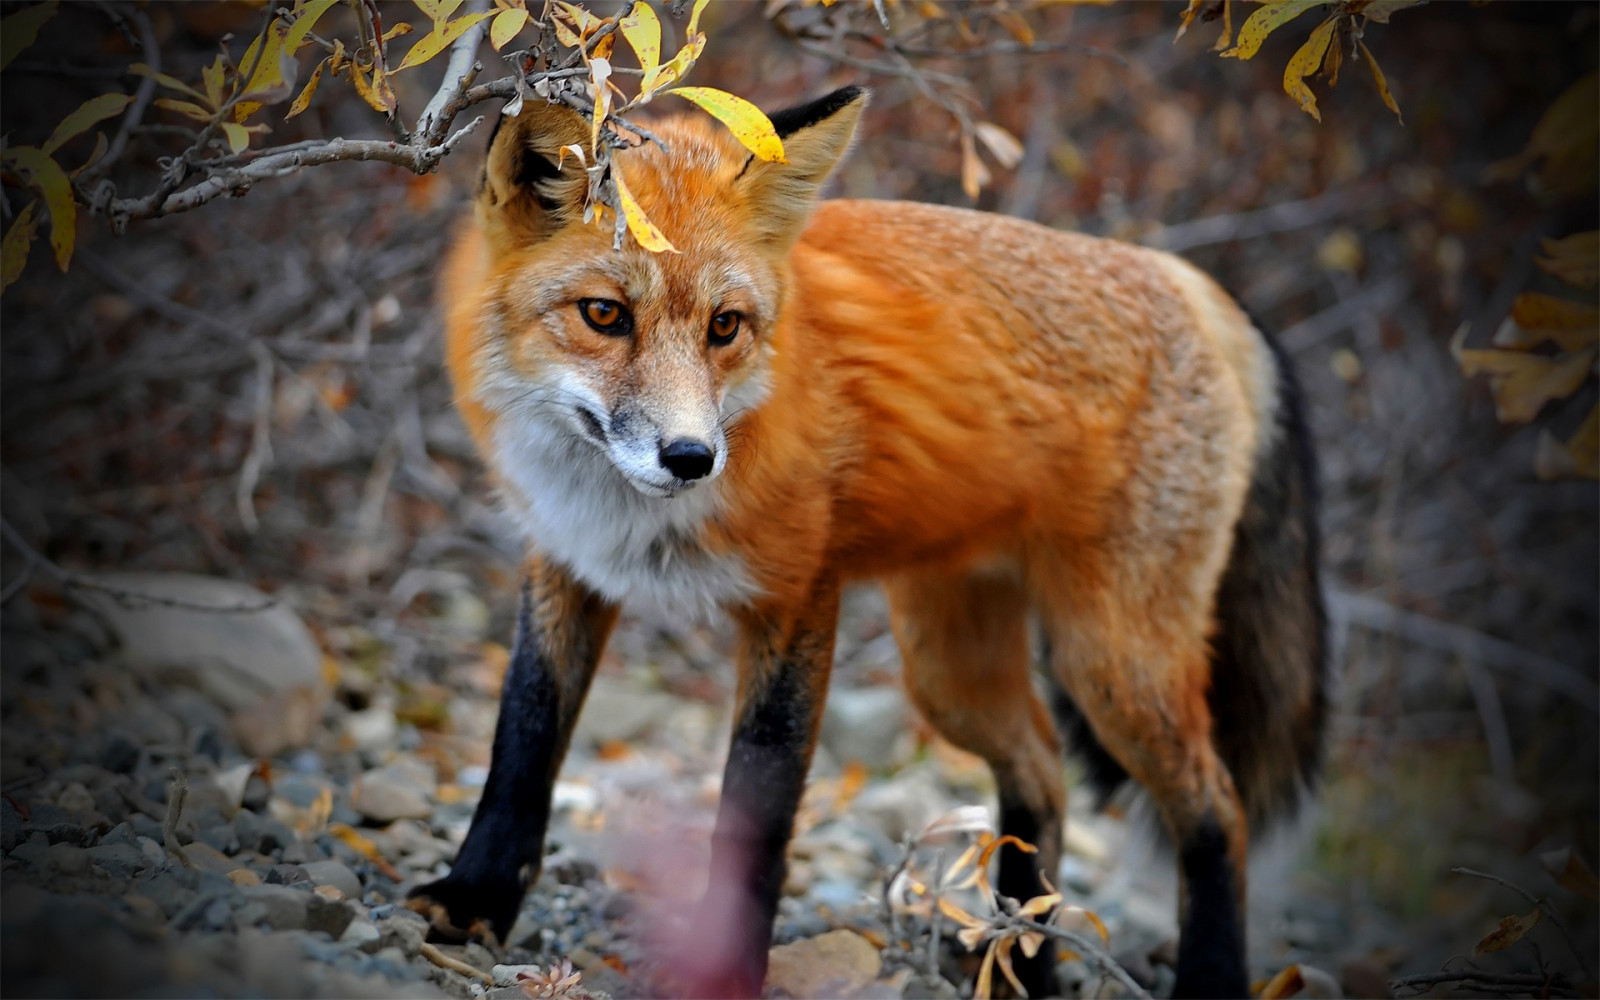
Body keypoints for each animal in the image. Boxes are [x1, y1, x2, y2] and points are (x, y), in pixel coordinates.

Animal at [407, 85, 1328, 999]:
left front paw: (729, 967)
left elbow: (757, 807)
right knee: (1041, 770)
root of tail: (1189, 279)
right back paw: (1023, 961)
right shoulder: (567, 565)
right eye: (605, 314)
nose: (692, 458)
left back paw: (1203, 975)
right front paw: (474, 900)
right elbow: (523, 741)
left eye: (725, 326)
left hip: (1110, 666)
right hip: (951, 671)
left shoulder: (799, 596)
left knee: (1216, 809)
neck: (620, 513)